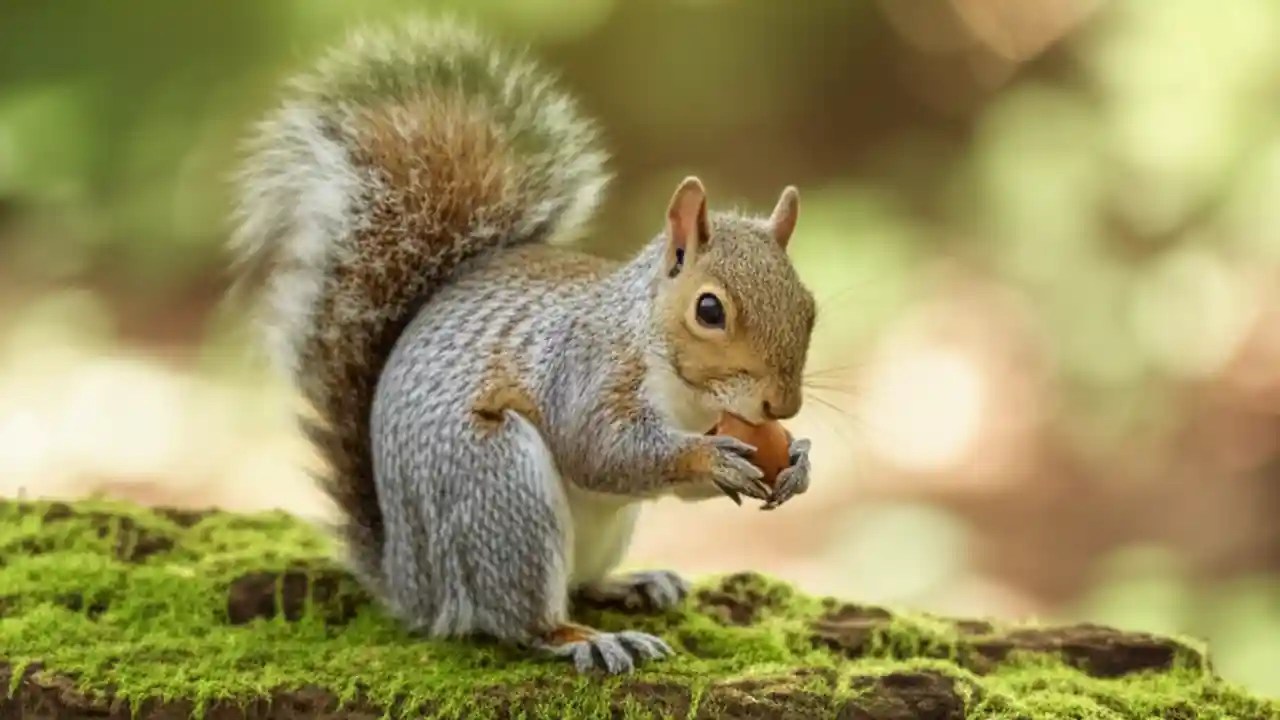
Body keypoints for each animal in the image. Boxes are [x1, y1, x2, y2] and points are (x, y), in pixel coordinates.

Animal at [227, 18, 817, 674]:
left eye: (809, 306)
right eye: (709, 310)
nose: (782, 407)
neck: (687, 394)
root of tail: (412, 586)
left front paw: (798, 462)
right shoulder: (583, 371)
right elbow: (600, 450)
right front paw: (710, 458)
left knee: (579, 581)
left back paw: (631, 585)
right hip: (500, 497)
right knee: (520, 619)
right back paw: (586, 637)